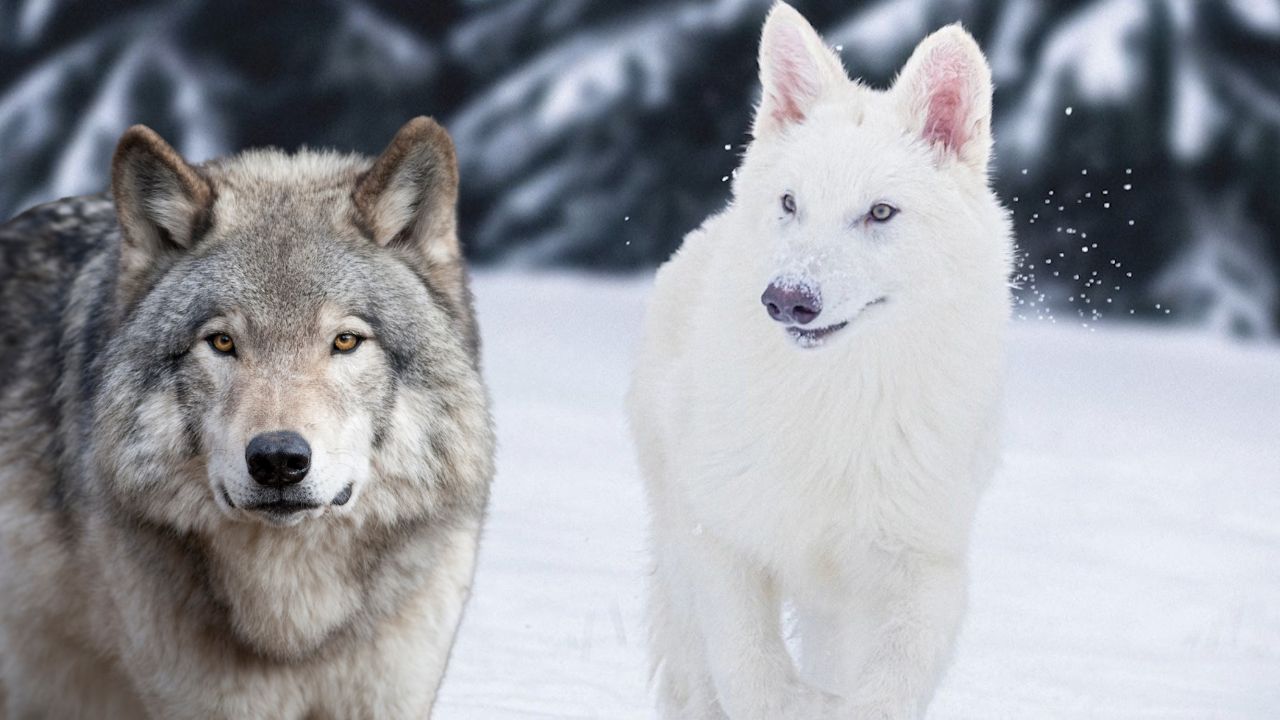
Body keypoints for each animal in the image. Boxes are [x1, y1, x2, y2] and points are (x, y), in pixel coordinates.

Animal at [628, 4, 1011, 719]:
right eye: (790, 204)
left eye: (880, 212)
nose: (786, 300)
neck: (835, 403)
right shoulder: (723, 541)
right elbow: (754, 675)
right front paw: (802, 702)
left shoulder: (925, 567)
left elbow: (886, 691)